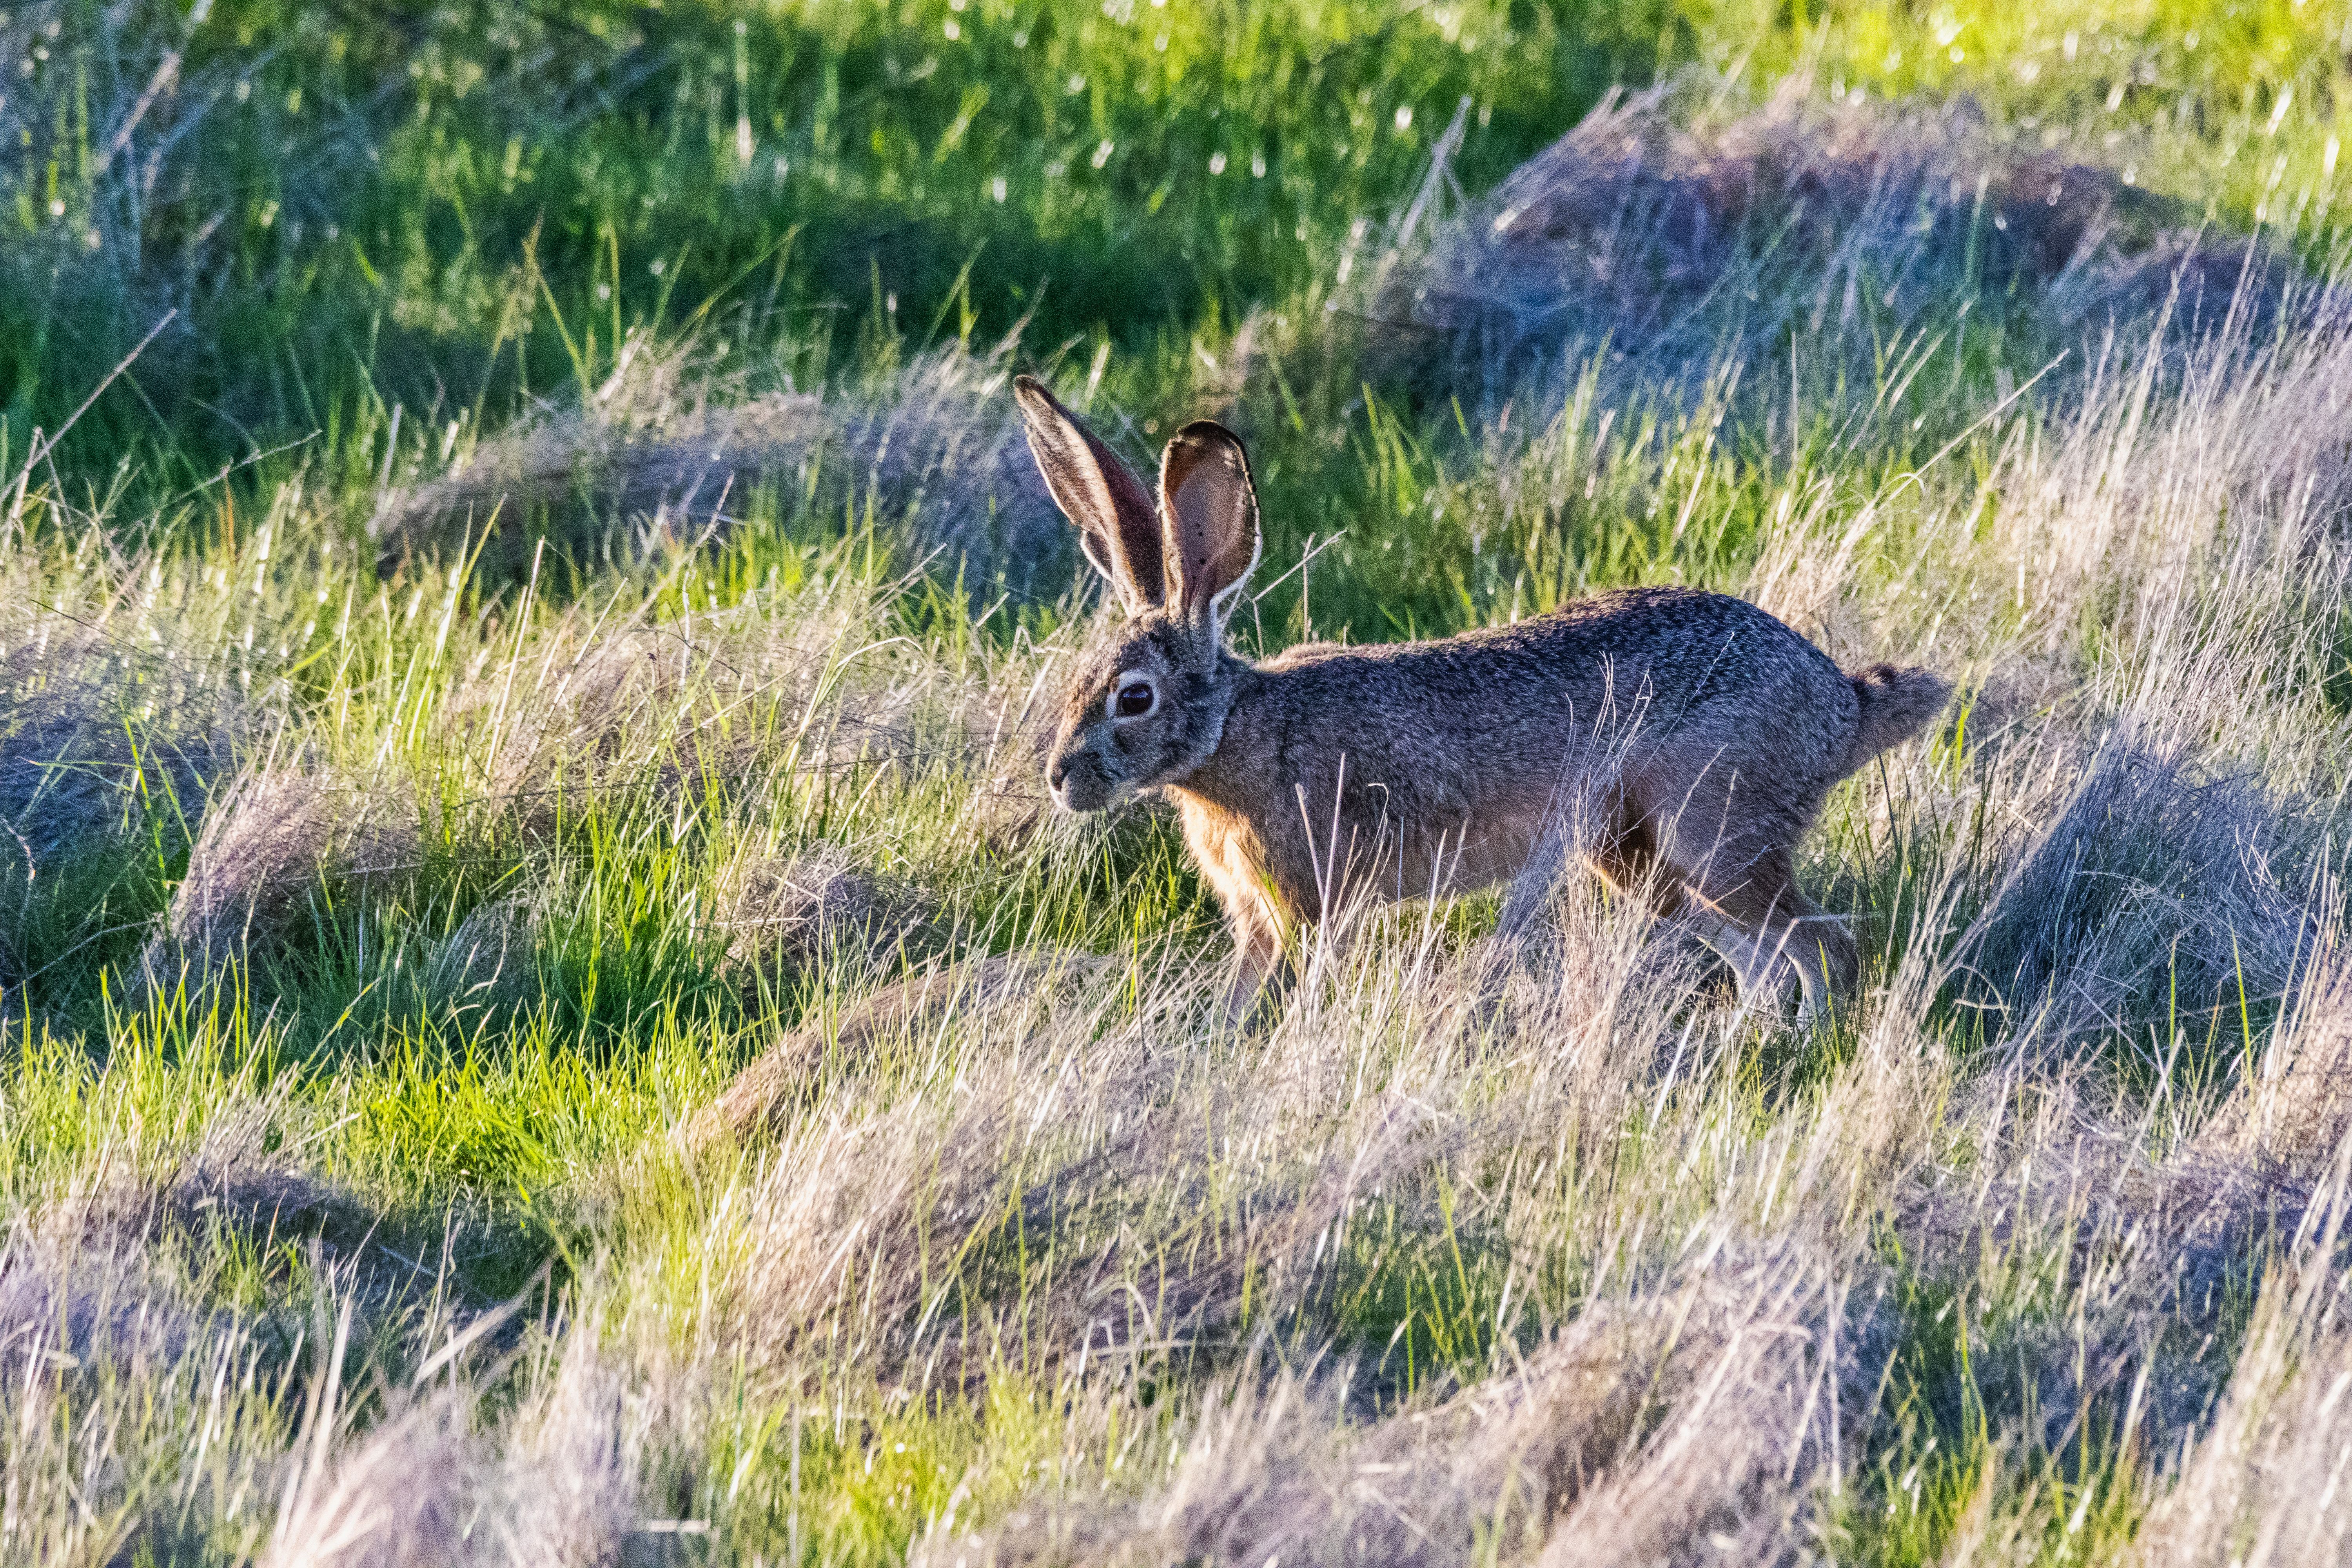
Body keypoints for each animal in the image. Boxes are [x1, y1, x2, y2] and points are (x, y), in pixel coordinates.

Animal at [1013, 375, 1952, 1023]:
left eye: (1134, 699)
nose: (1061, 778)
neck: (1234, 733)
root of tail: (1840, 707)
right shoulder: (1258, 917)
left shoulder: (1309, 903)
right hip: (1636, 857)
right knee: (1760, 955)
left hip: (1713, 827)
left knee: (1823, 947)